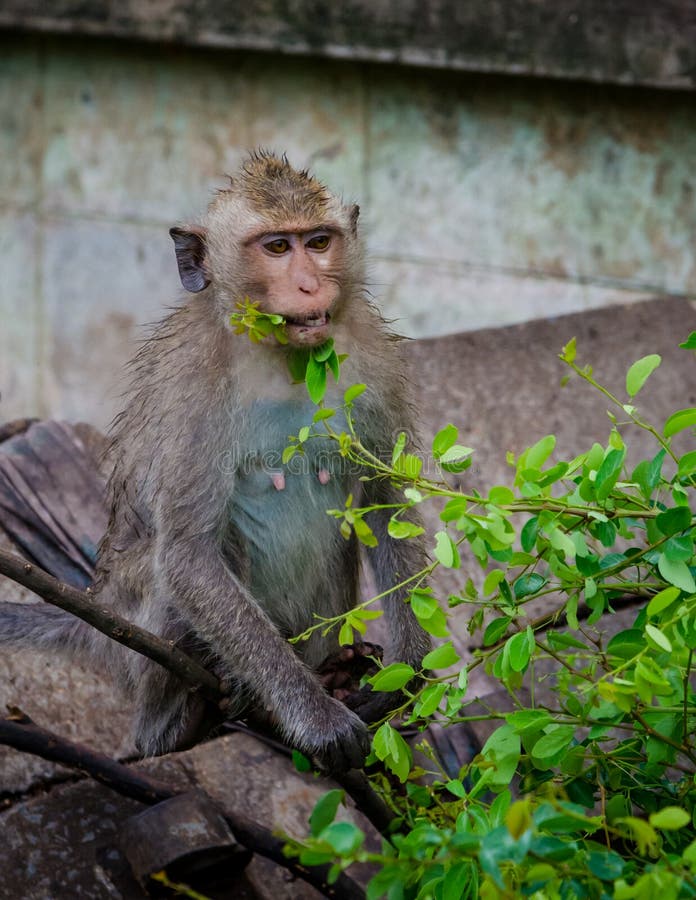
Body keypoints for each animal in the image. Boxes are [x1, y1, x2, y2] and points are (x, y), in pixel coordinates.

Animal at [0, 151, 431, 773]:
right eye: (276, 247)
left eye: (318, 241)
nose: (309, 283)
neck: (282, 356)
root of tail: (101, 613)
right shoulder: (194, 386)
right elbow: (187, 556)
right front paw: (317, 719)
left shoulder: (373, 355)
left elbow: (385, 501)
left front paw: (409, 670)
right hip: (138, 641)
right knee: (193, 550)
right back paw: (174, 724)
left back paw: (336, 673)